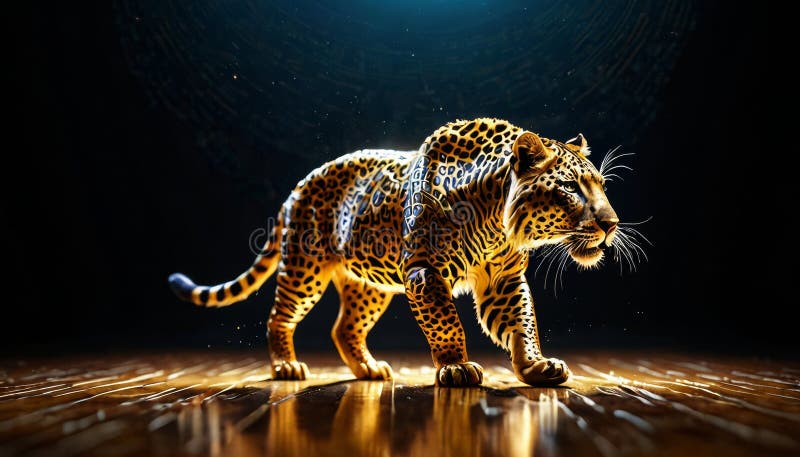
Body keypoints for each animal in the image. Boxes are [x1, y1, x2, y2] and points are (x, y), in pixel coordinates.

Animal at [169, 118, 630, 387]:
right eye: (570, 188)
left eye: (601, 186)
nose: (612, 224)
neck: (494, 219)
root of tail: (298, 186)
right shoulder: (425, 271)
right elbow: (447, 324)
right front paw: (456, 368)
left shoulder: (502, 279)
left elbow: (522, 321)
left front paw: (535, 365)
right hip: (305, 268)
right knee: (279, 315)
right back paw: (285, 367)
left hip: (367, 285)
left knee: (344, 328)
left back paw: (369, 370)